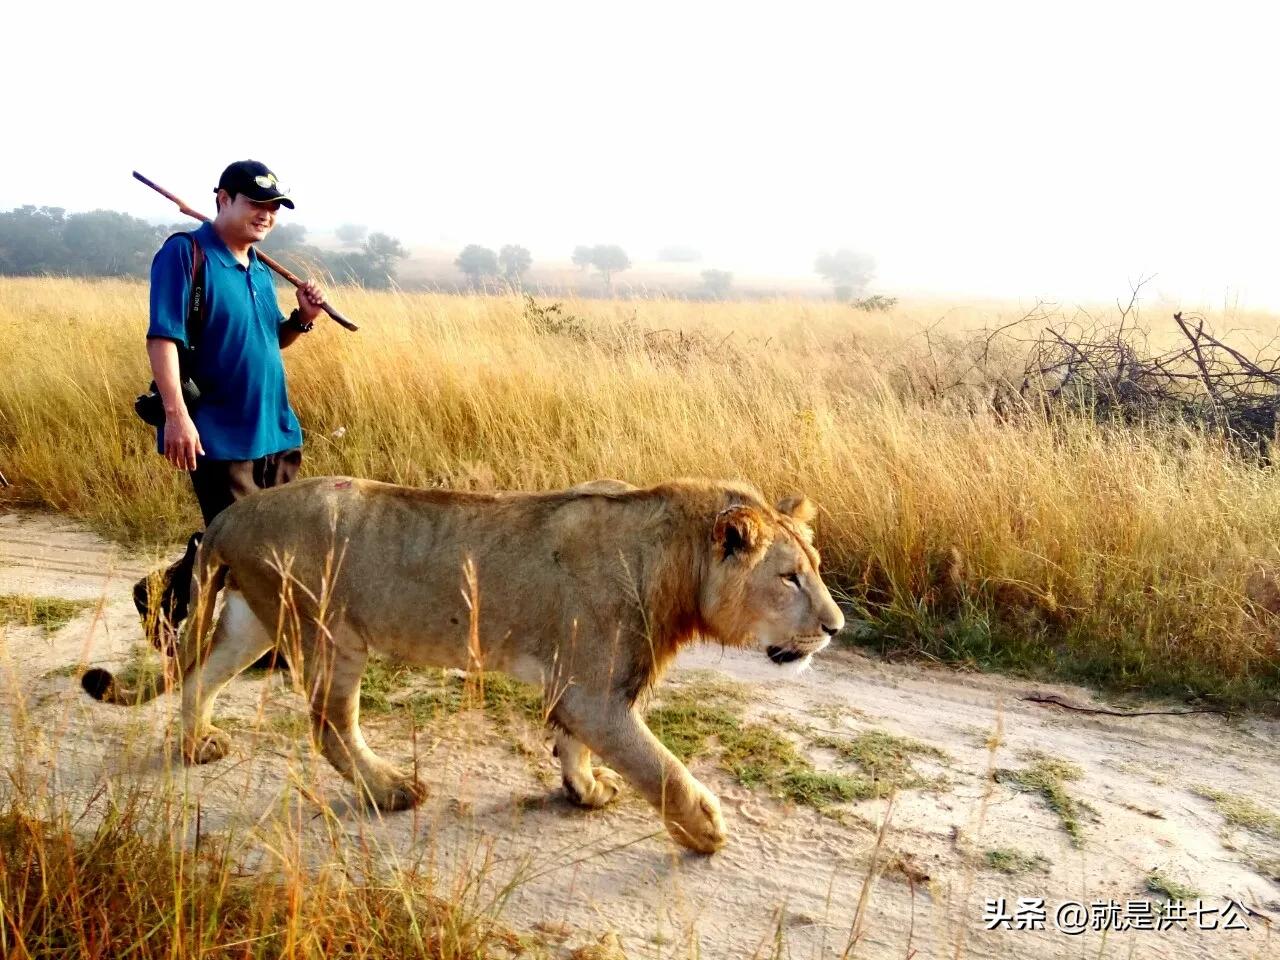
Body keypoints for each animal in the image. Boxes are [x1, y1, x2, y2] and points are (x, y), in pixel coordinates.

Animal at [82, 476, 844, 853]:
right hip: (329, 632)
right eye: (789, 579)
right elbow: (661, 767)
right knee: (328, 726)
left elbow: (574, 745)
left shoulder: (577, 688)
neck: (677, 563)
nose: (835, 628)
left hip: (253, 618)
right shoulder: (596, 690)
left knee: (198, 674)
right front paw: (704, 828)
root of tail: (227, 517)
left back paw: (195, 745)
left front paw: (585, 790)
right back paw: (391, 789)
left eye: (815, 567)